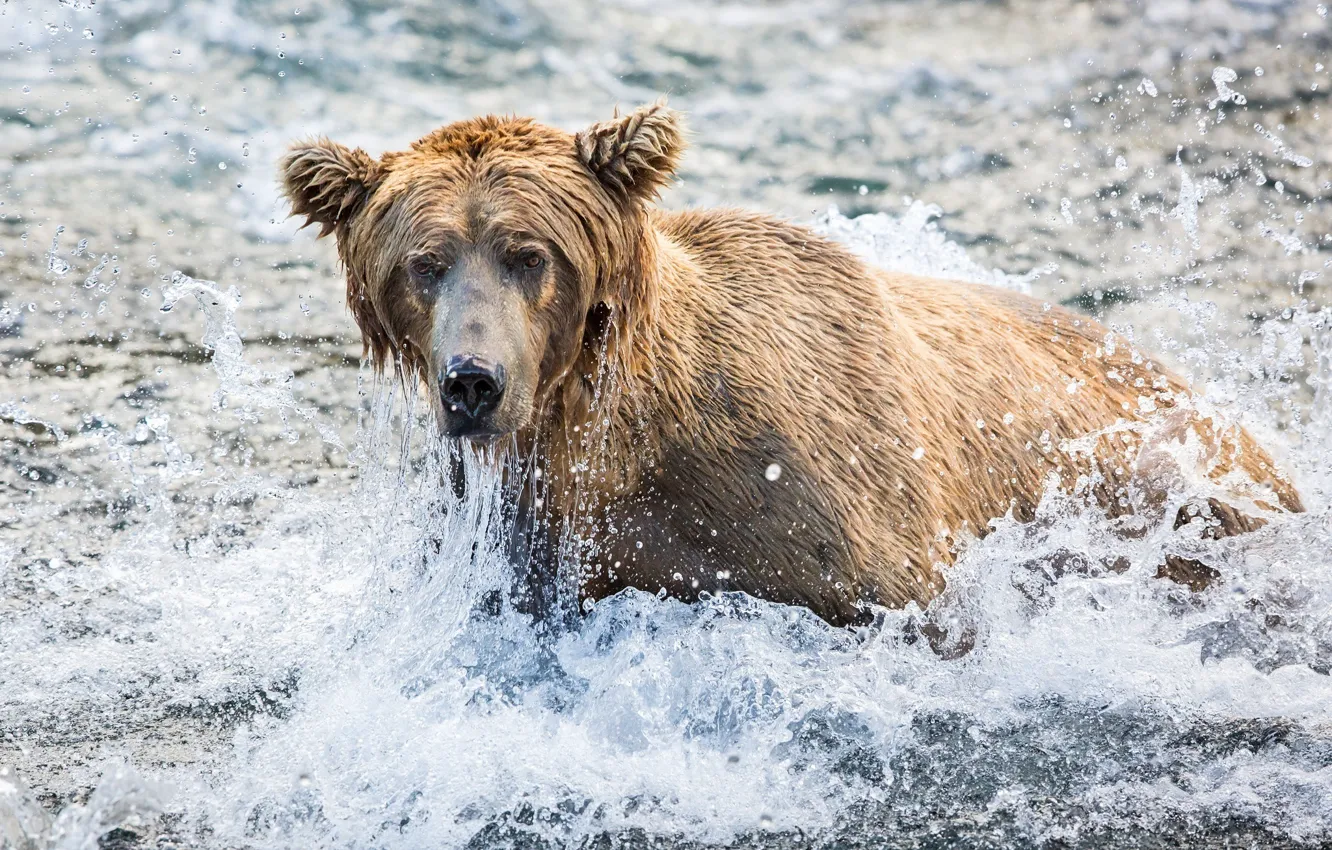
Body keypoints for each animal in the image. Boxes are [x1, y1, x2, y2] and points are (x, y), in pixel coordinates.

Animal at [280, 101, 1303, 627]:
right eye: (426, 263)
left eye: (528, 254)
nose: (473, 381)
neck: (626, 441)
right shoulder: (530, 541)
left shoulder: (838, 510)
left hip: (1177, 497)